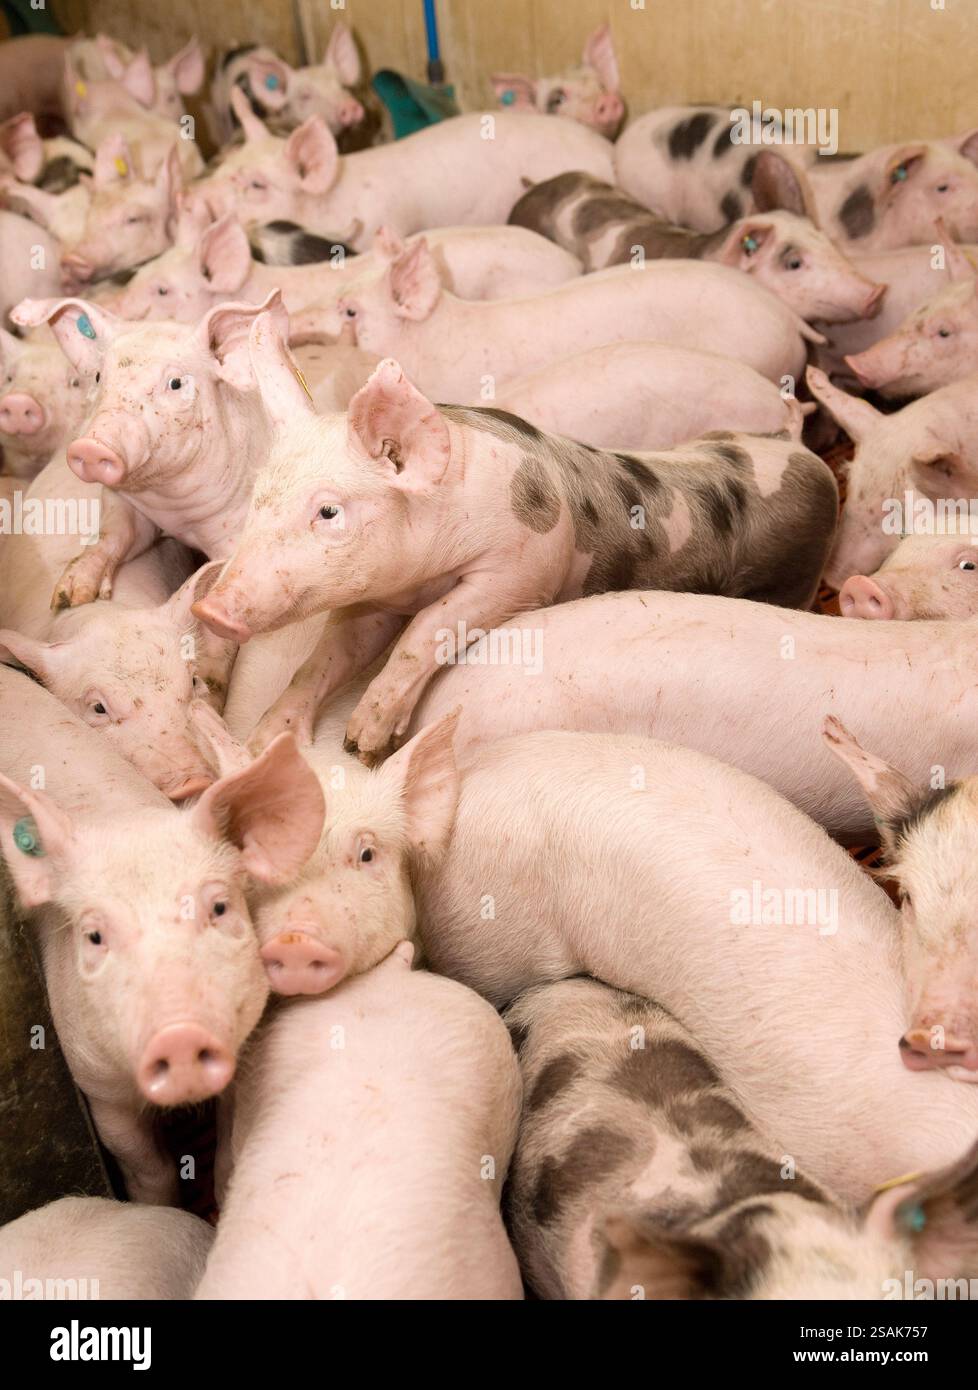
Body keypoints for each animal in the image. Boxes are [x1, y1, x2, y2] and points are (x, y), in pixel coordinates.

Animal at [0, 665, 324, 1201]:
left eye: (219, 907)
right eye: (94, 936)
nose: (179, 1033)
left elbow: (230, 1152)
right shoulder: (96, 1083)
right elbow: (145, 1164)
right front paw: (159, 1207)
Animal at [12, 291, 369, 605]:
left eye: (176, 383)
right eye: (99, 376)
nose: (91, 447)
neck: (175, 511)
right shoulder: (126, 503)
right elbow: (113, 535)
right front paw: (67, 597)